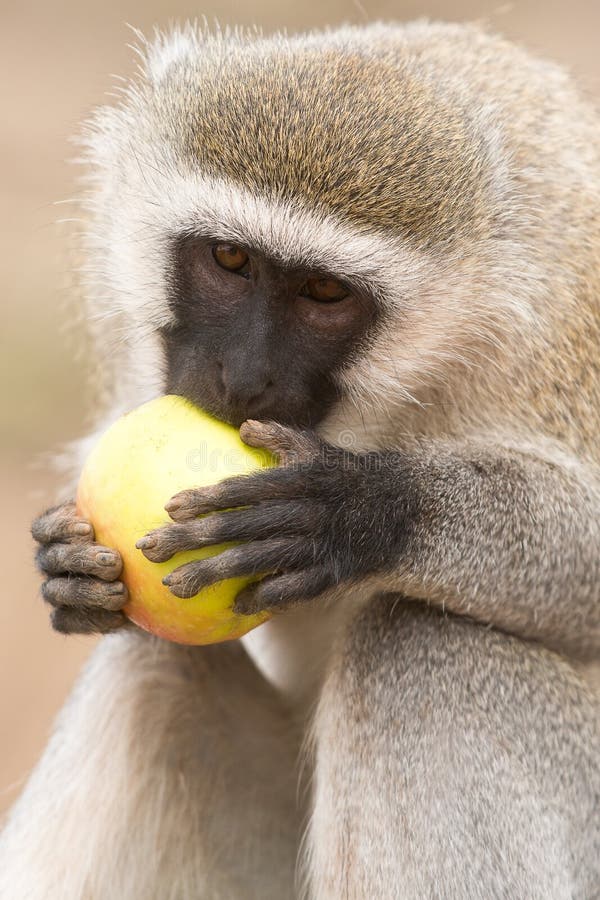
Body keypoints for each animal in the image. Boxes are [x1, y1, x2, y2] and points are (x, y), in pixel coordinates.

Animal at [0, 17, 599, 899]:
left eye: (325, 295)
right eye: (229, 260)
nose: (244, 378)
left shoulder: (549, 343)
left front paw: (358, 510)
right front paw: (66, 563)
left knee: (420, 649)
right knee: (154, 664)